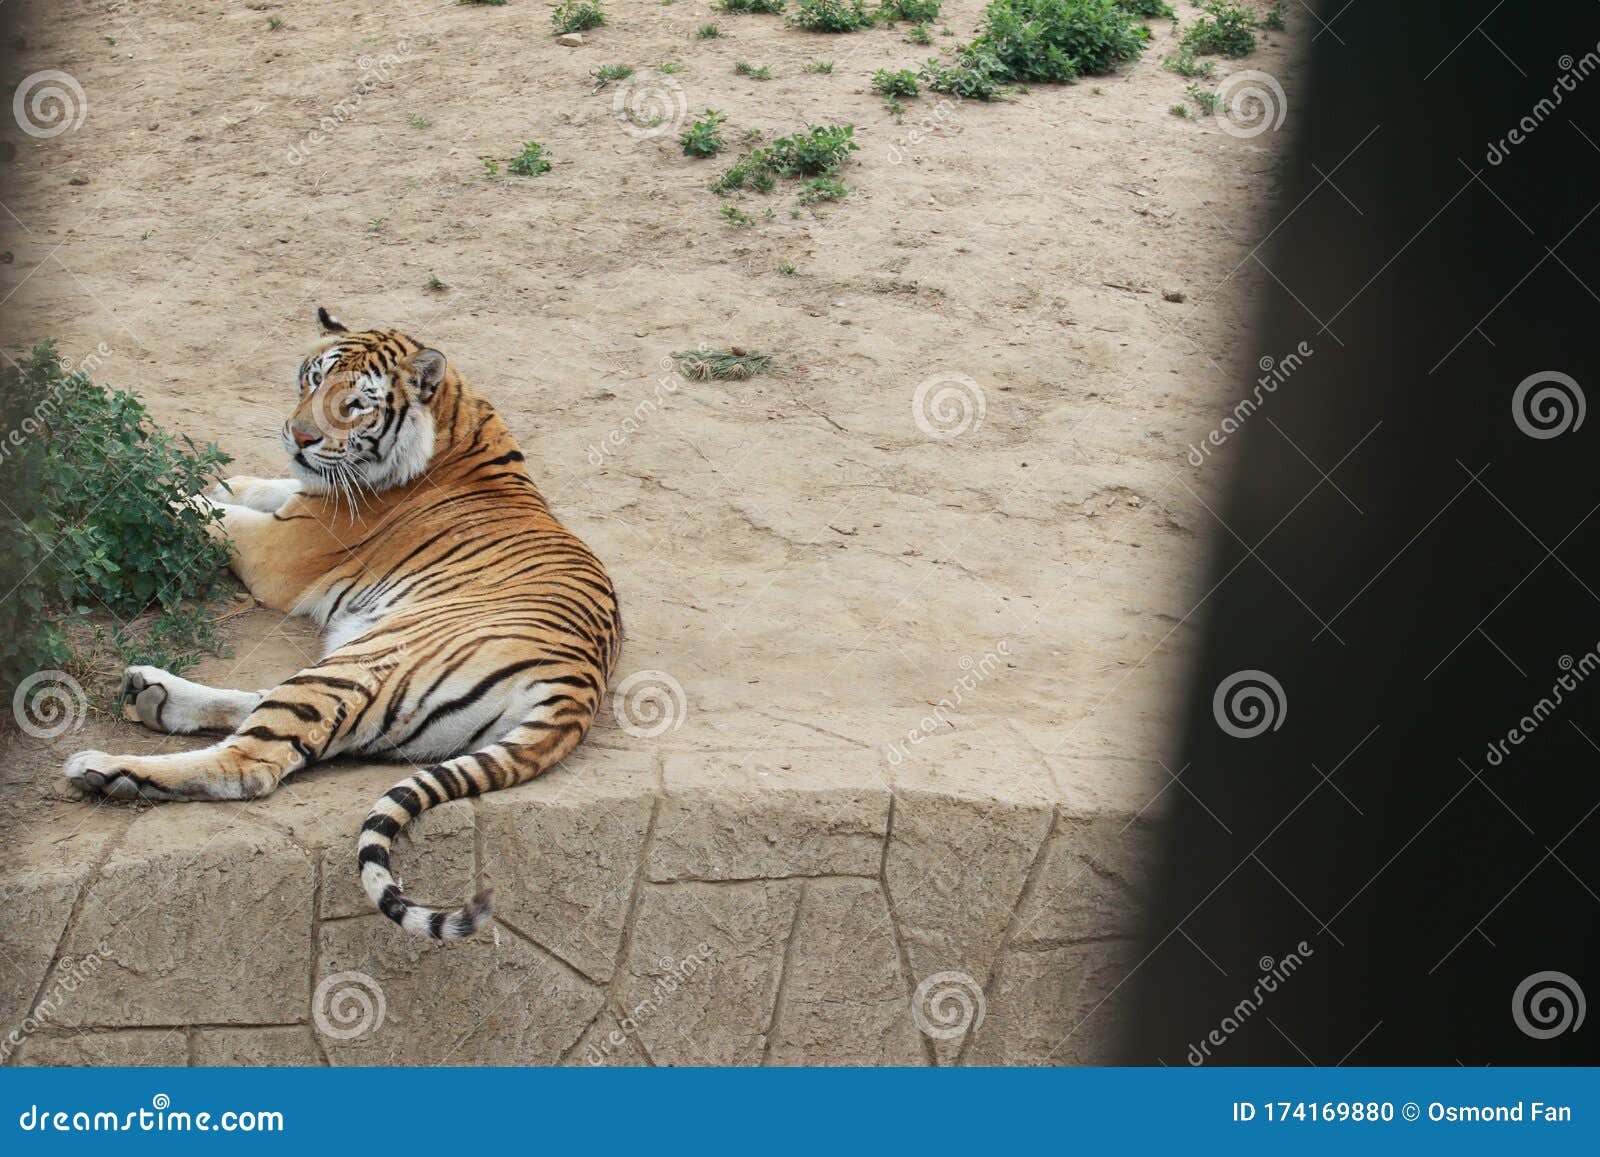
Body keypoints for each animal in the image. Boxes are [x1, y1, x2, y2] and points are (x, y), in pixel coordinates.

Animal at [63, 308, 622, 940]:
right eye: (312, 380)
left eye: (354, 405)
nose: (298, 435)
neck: (454, 421)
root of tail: (580, 687)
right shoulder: (299, 496)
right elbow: (265, 485)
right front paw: (224, 479)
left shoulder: (279, 548)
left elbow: (202, 513)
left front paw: (146, 492)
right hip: (368, 674)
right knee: (277, 718)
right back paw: (151, 694)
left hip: (372, 654)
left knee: (253, 763)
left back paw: (105, 769)